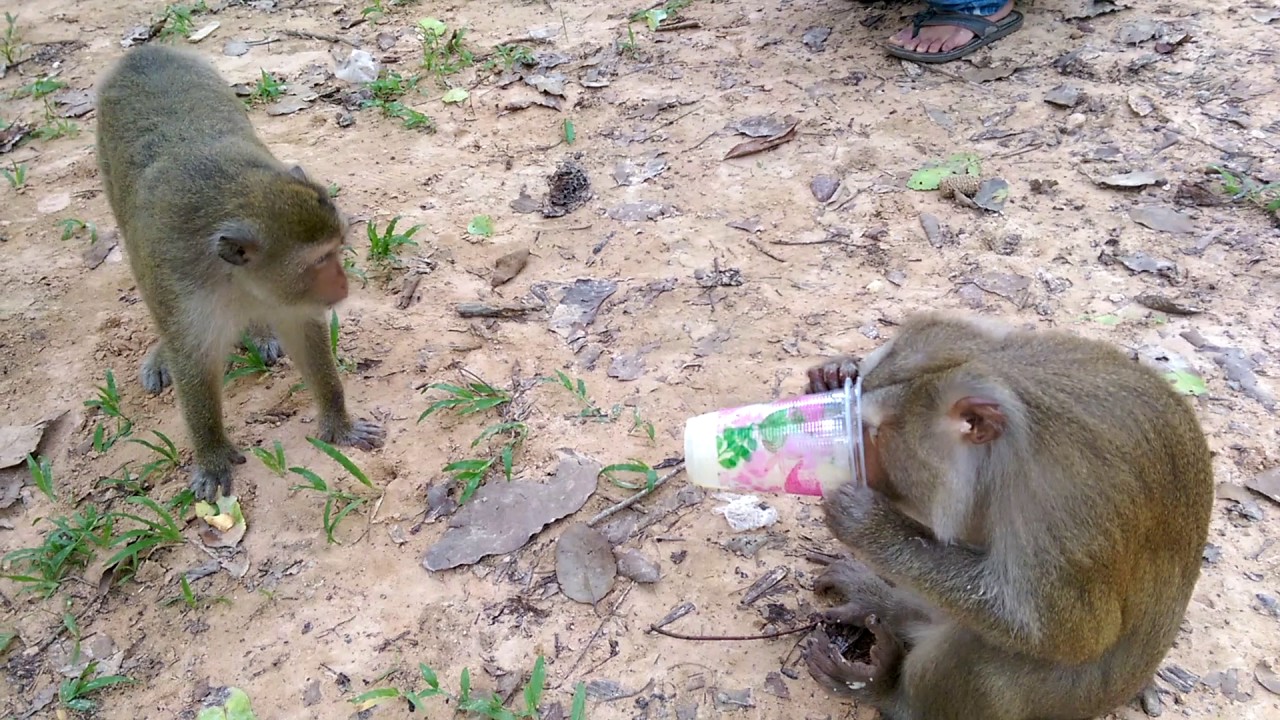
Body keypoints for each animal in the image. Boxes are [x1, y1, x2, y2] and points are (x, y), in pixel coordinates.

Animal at [95, 45, 386, 502]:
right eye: (320, 260)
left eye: (339, 249)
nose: (342, 285)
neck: (236, 277)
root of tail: (145, 51)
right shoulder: (183, 287)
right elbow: (193, 362)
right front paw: (212, 454)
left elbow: (303, 333)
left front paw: (338, 420)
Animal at [799, 311, 1214, 720]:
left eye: (875, 432)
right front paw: (833, 375)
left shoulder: (1065, 502)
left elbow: (1070, 631)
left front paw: (869, 525)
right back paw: (884, 605)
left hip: (1062, 701)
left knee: (979, 649)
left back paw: (890, 693)